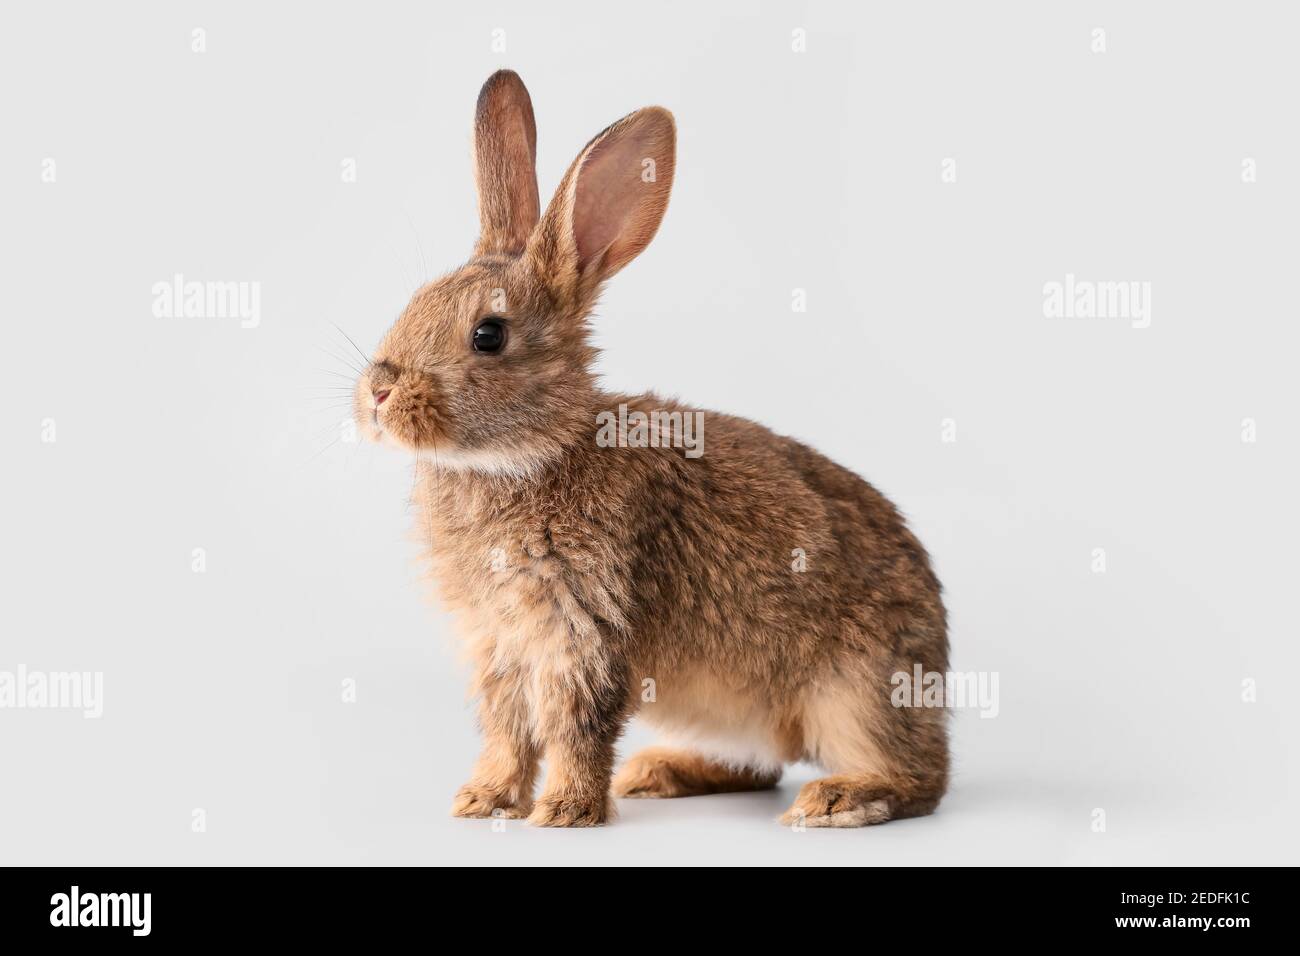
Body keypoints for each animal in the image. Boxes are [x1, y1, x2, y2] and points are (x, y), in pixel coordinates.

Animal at [353, 70, 949, 827]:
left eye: (488, 335)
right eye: (414, 301)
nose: (376, 392)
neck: (537, 451)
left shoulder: (586, 626)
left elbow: (575, 725)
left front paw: (565, 812)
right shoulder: (499, 644)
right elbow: (506, 729)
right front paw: (483, 800)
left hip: (856, 692)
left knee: (920, 777)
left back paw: (839, 798)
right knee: (757, 766)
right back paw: (660, 772)